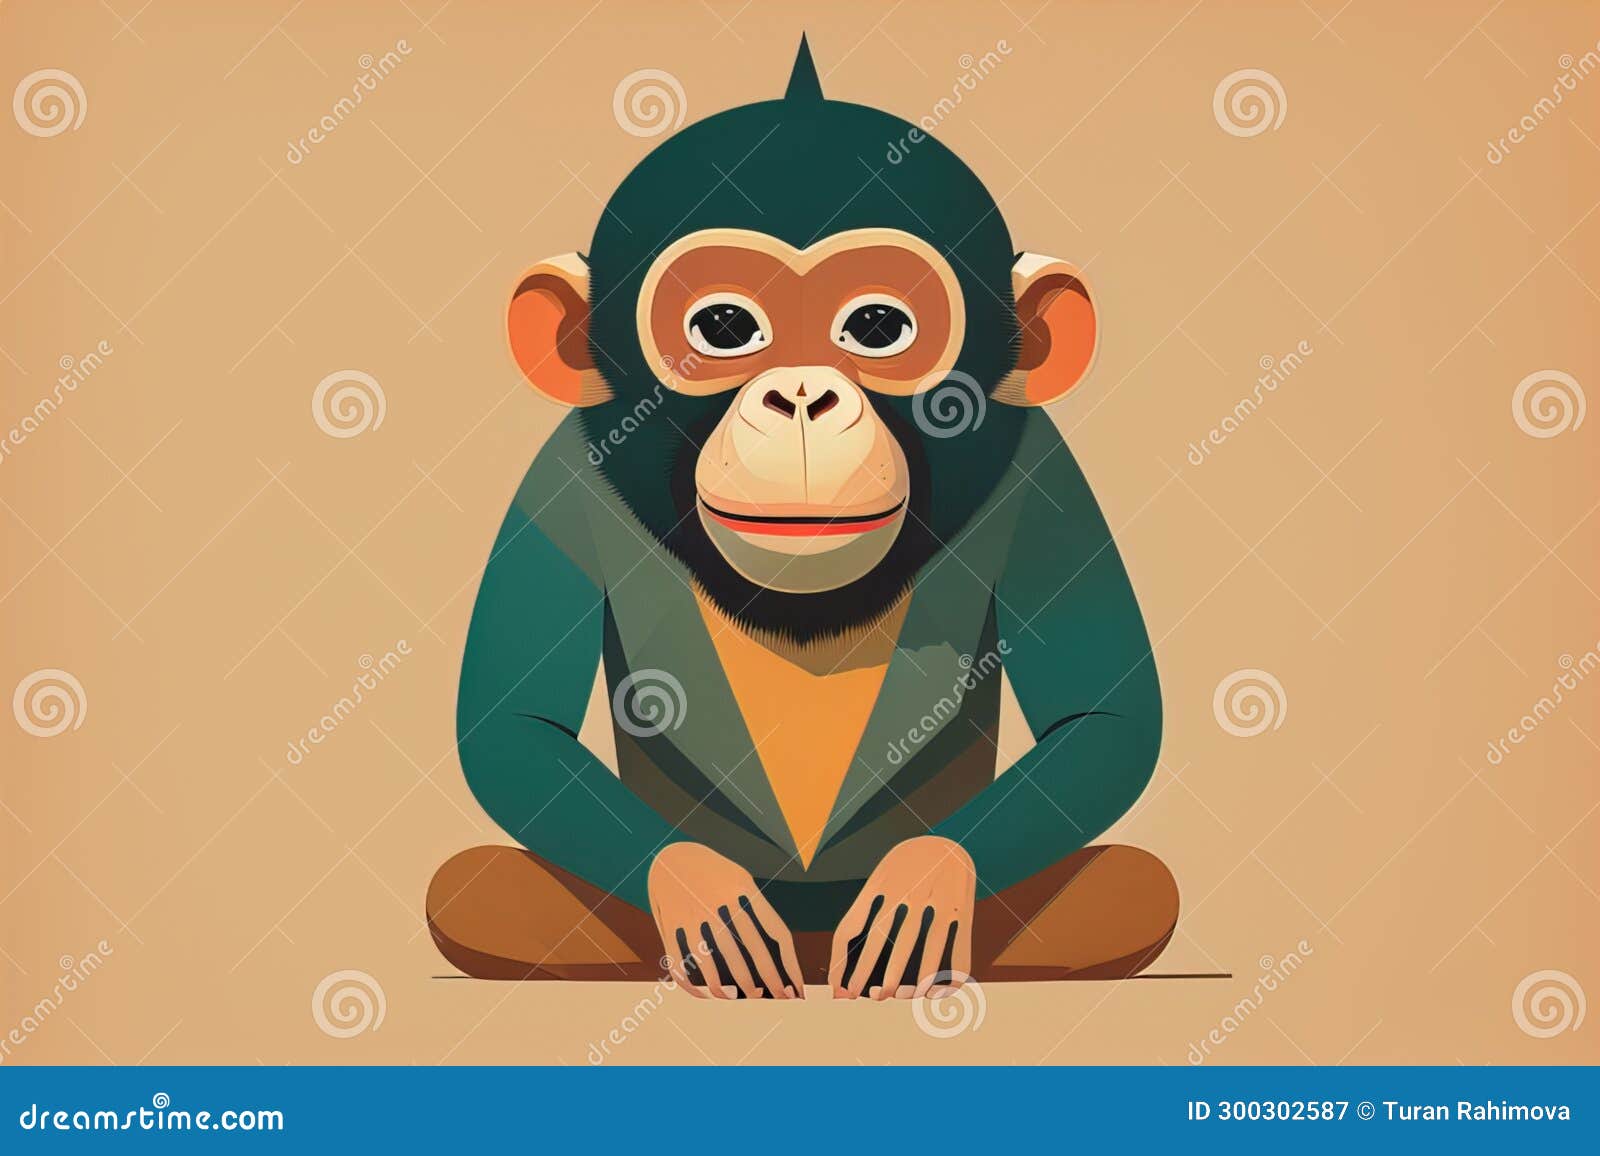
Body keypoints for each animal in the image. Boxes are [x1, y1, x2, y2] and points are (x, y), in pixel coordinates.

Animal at [426, 38, 1177, 1000]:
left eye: (878, 326)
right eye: (722, 326)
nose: (802, 397)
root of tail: (816, 945)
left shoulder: (1050, 479)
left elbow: (1109, 725)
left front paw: (921, 884)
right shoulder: (554, 483)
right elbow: (509, 729)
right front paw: (702, 895)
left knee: (1134, 885)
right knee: (476, 889)